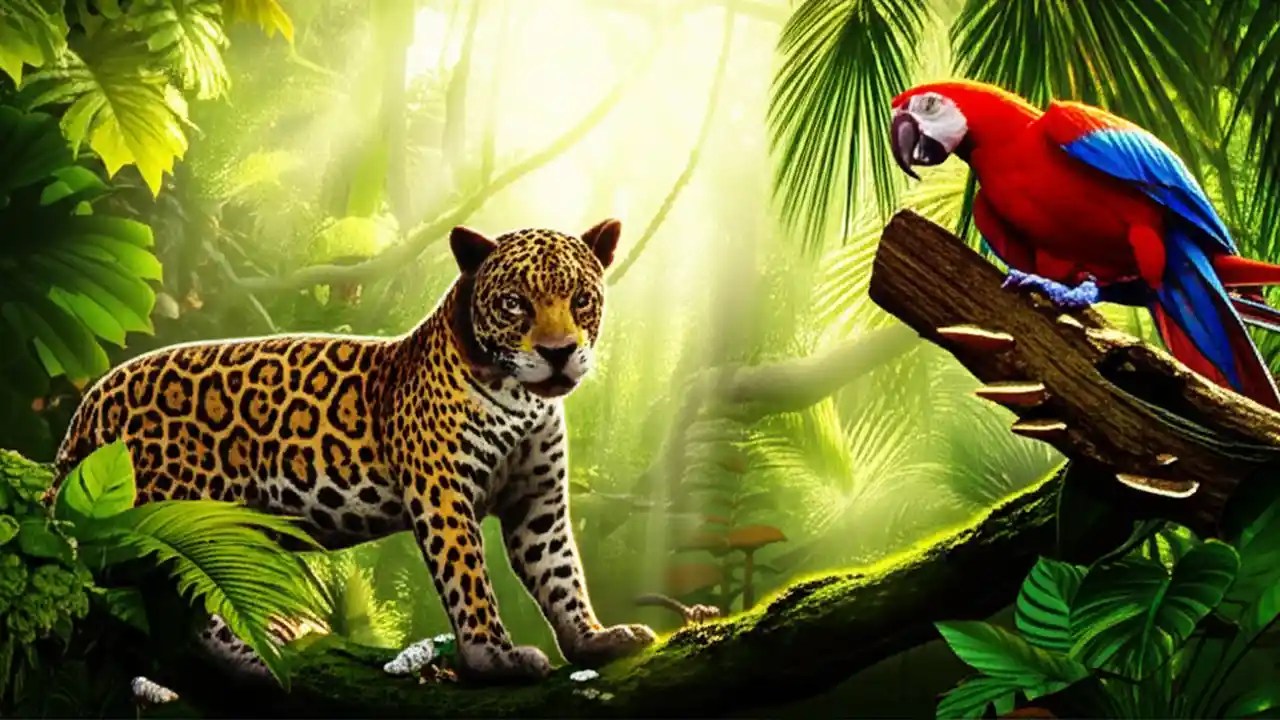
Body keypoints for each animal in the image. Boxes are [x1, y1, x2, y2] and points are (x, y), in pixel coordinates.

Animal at [52, 219, 657, 681]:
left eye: (581, 300)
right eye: (514, 305)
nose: (559, 353)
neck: (521, 398)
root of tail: (91, 403)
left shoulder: (538, 503)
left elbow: (561, 575)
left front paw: (594, 639)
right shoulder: (443, 494)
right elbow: (469, 578)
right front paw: (495, 658)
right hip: (185, 513)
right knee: (188, 604)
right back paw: (259, 657)